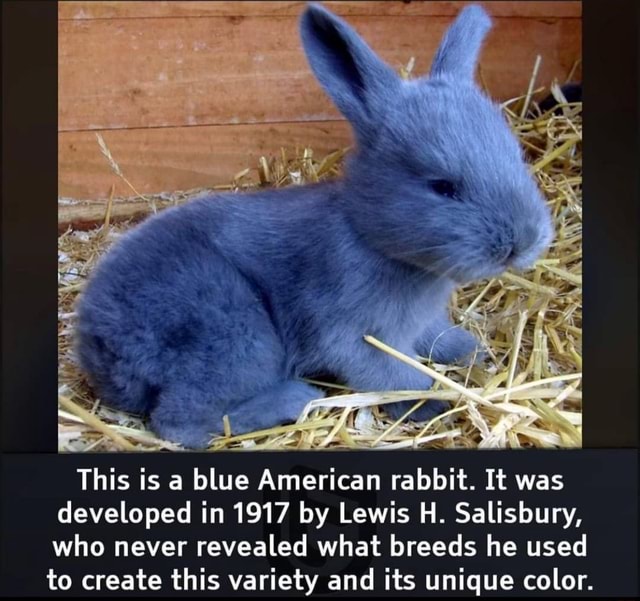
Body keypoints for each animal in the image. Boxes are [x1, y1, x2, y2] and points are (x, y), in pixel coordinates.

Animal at [75, 2, 554, 449]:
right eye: (442, 186)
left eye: (516, 156)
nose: (522, 242)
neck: (369, 236)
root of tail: (98, 345)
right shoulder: (353, 336)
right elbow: (390, 374)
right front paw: (430, 400)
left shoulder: (420, 324)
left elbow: (438, 339)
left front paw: (474, 351)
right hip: (235, 337)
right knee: (182, 421)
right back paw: (295, 398)